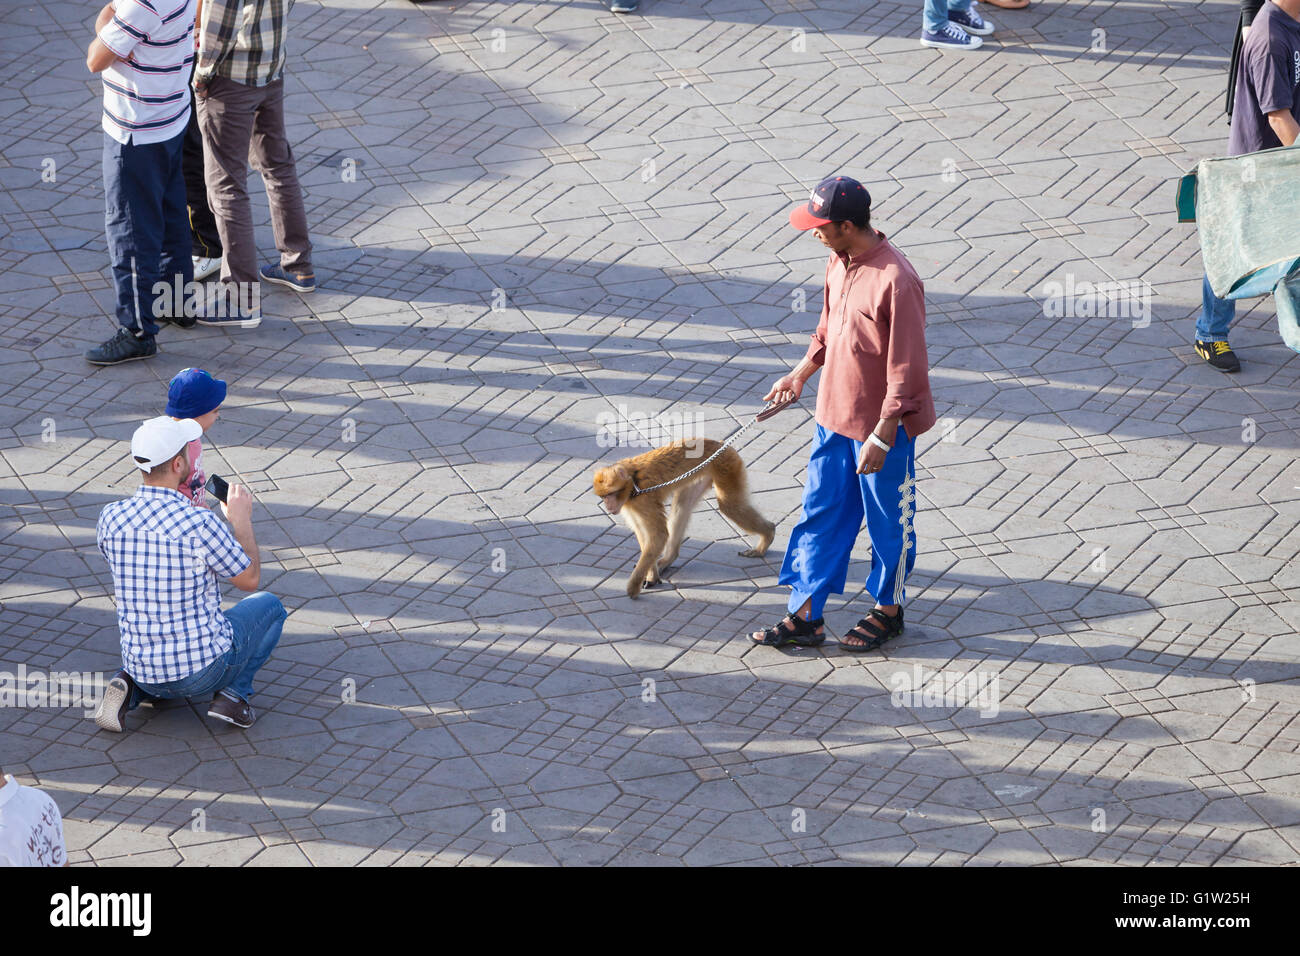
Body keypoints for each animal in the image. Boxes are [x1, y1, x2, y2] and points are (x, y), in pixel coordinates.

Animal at [593, 439, 776, 599]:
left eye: (609, 495)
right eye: (603, 497)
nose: (608, 506)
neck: (633, 481)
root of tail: (720, 444)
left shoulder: (643, 500)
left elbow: (658, 535)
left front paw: (633, 586)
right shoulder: (630, 505)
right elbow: (645, 533)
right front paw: (652, 574)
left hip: (727, 466)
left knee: (730, 506)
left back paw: (768, 534)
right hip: (700, 476)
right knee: (683, 505)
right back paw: (668, 559)